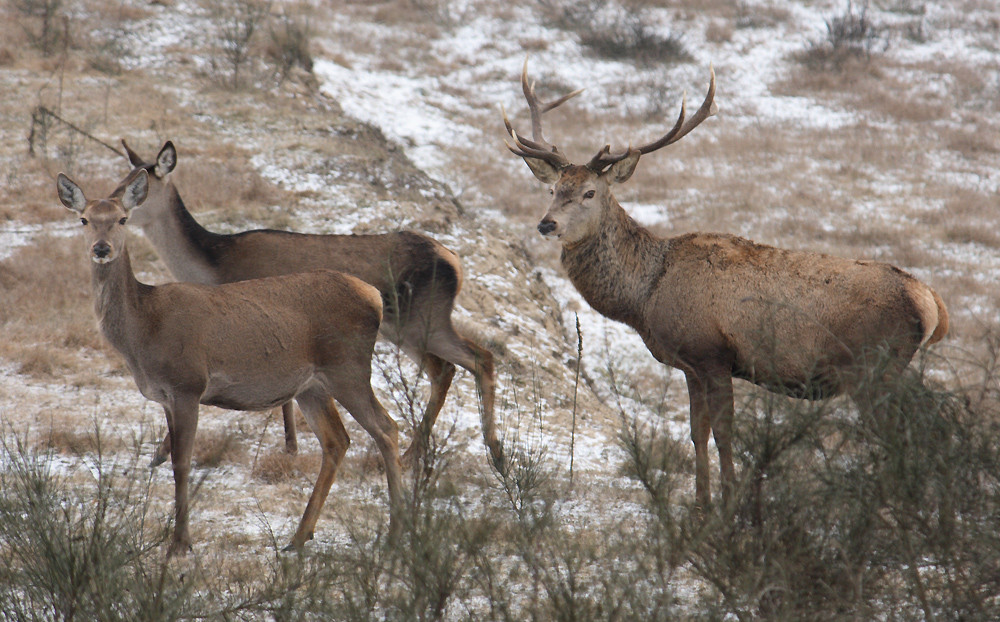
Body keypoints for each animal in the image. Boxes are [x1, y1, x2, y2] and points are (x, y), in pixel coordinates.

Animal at [57, 169, 402, 556]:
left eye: (122, 219)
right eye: (84, 219)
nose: (101, 249)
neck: (144, 329)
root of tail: (373, 296)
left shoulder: (187, 384)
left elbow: (182, 463)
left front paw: (180, 543)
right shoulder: (165, 397)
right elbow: (173, 458)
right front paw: (176, 538)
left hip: (349, 368)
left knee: (386, 428)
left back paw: (394, 534)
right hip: (311, 385)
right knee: (337, 441)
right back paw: (299, 537)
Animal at [119, 141, 500, 472]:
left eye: (139, 189)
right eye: (121, 181)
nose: (112, 208)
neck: (215, 265)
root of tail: (455, 261)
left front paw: (160, 453)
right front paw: (291, 444)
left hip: (421, 320)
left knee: (471, 360)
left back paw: (477, 453)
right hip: (409, 327)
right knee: (451, 366)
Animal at [504, 61, 948, 512]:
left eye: (590, 192)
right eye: (553, 189)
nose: (546, 224)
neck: (647, 293)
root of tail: (931, 303)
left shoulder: (712, 353)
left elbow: (724, 434)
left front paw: (731, 506)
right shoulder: (689, 364)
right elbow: (697, 432)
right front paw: (701, 506)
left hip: (874, 368)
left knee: (907, 434)